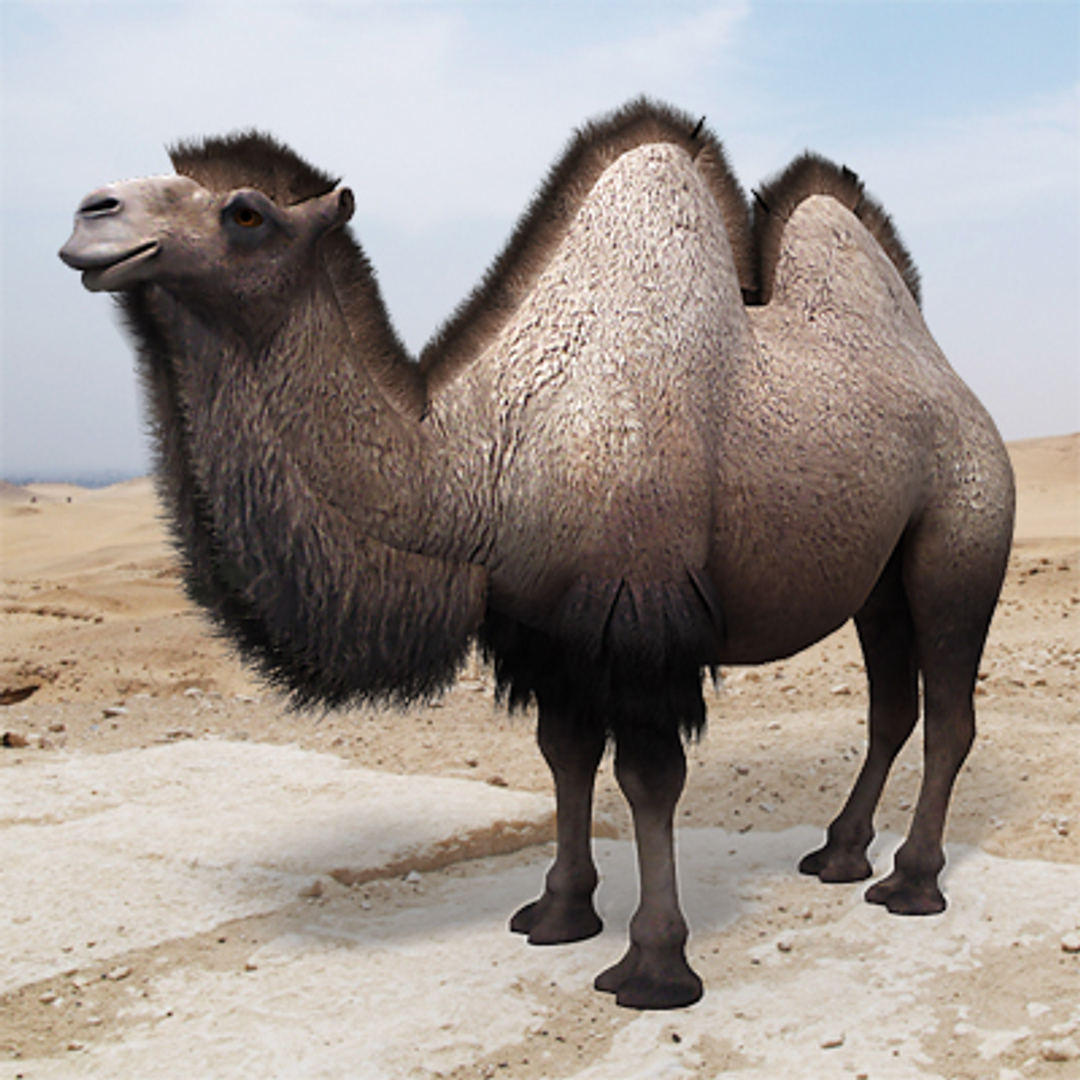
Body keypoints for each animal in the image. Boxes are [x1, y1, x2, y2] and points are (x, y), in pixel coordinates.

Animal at [60, 99, 1014, 1010]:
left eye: (246, 213)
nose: (90, 212)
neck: (488, 470)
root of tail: (963, 394)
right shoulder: (545, 626)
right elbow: (564, 754)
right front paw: (557, 913)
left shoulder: (642, 613)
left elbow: (648, 777)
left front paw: (654, 965)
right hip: (879, 579)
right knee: (891, 707)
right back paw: (840, 855)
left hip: (962, 537)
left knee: (950, 712)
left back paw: (912, 883)